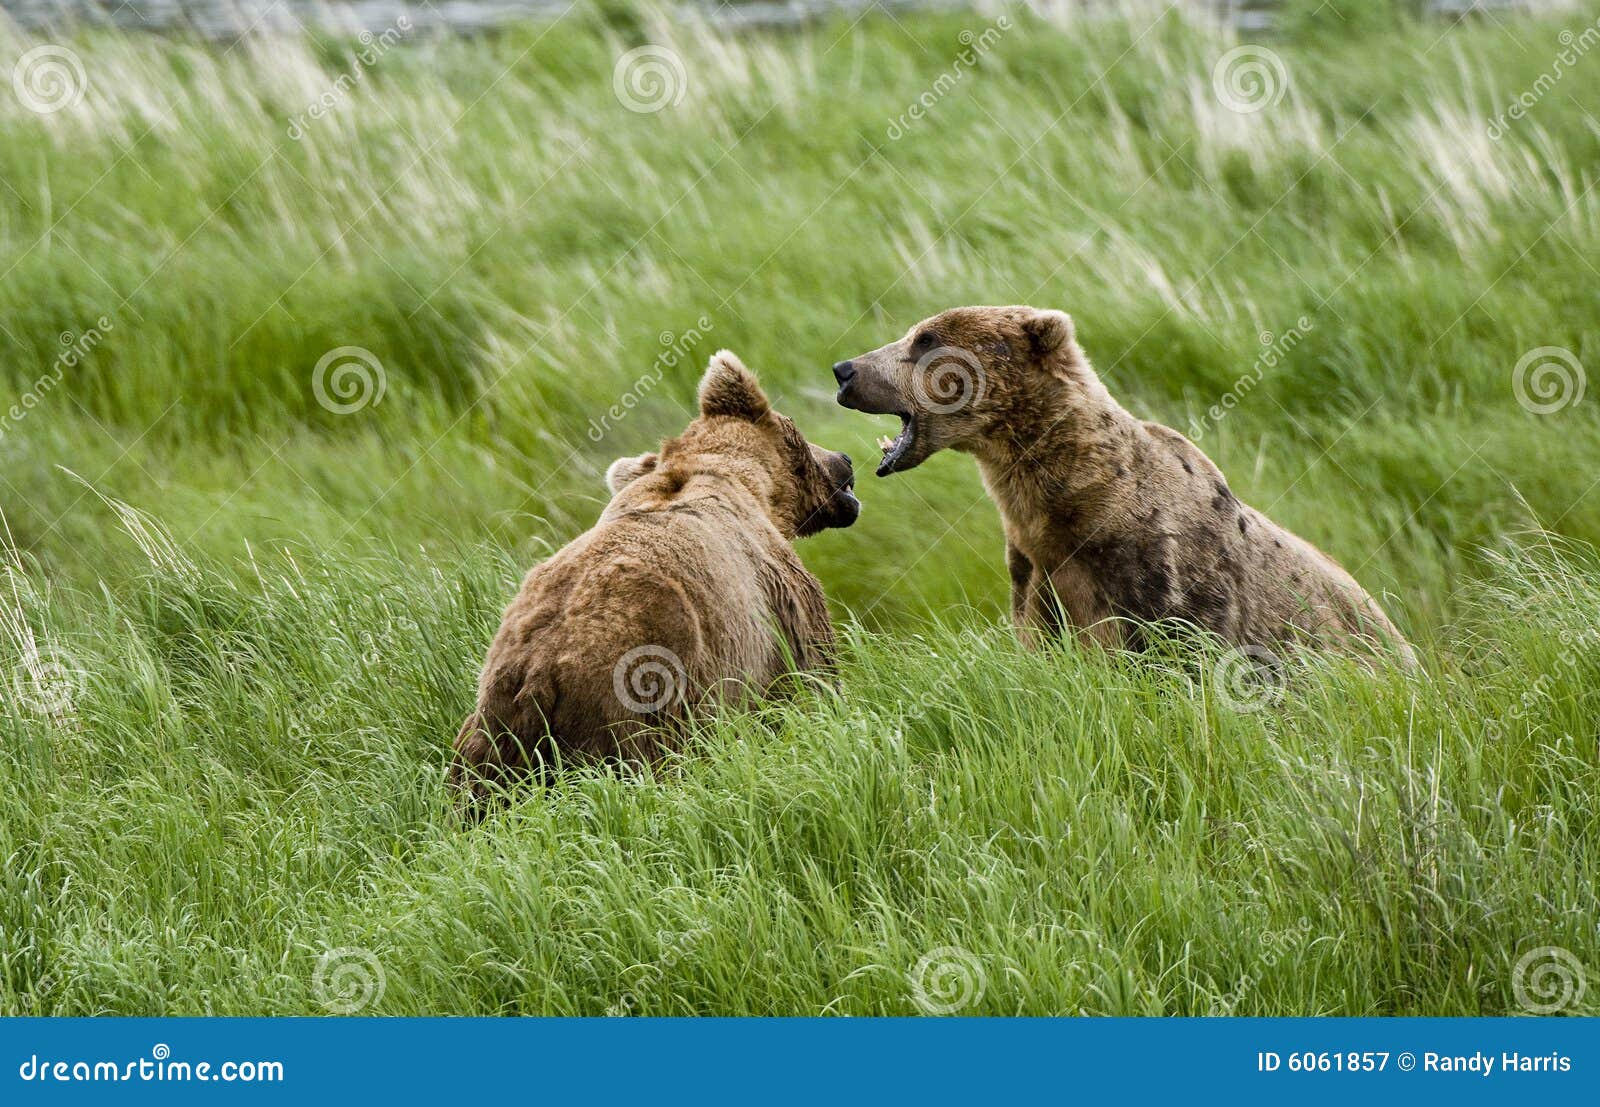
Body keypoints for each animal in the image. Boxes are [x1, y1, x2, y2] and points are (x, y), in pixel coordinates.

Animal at [449, 350, 859, 810]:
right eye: (801, 434)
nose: (844, 458)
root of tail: (536, 672)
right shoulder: (778, 602)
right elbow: (812, 682)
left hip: (491, 732)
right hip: (638, 698)